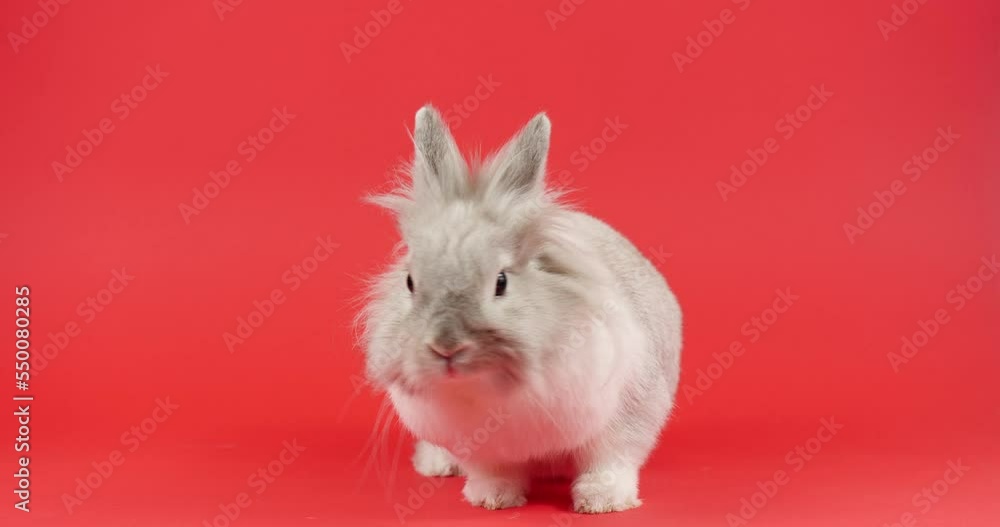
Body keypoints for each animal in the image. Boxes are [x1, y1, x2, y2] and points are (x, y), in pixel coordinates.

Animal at [358, 105, 682, 514]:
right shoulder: (478, 445)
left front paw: (602, 502)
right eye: (410, 282)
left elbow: (611, 461)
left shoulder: (627, 413)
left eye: (501, 282)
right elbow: (494, 470)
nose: (446, 345)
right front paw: (493, 498)